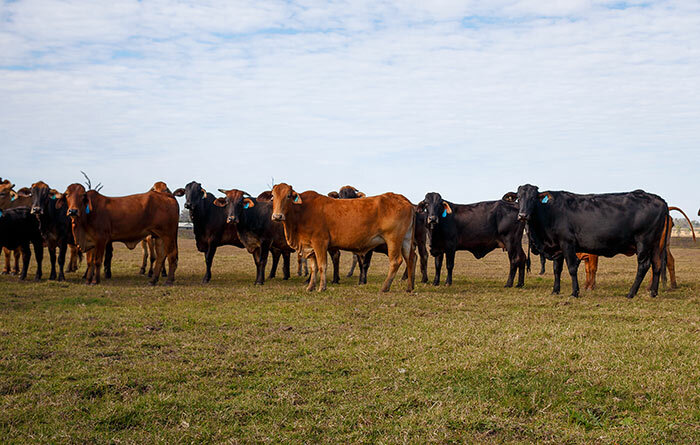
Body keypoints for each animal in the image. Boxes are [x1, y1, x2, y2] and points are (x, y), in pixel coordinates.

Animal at [504, 184, 668, 298]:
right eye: (519, 198)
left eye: (533, 198)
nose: (522, 215)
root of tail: (659, 199)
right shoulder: (558, 247)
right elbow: (557, 270)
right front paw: (555, 291)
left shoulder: (567, 243)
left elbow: (571, 268)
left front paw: (574, 292)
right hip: (655, 244)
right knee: (657, 265)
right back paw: (653, 293)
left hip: (643, 242)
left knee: (644, 265)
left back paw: (631, 293)